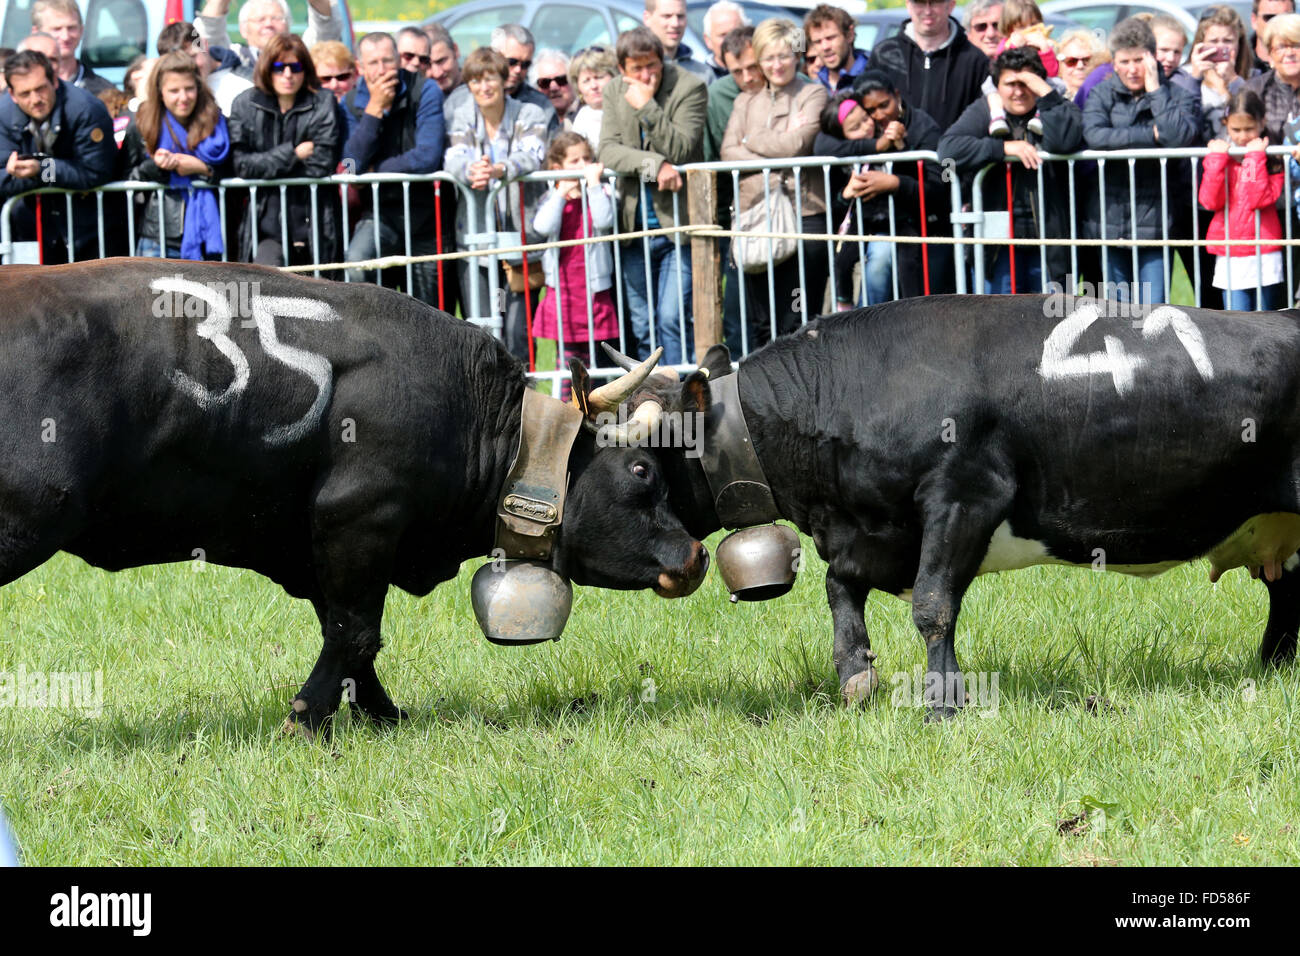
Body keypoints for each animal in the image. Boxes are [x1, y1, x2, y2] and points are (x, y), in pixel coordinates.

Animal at [0, 259, 707, 736]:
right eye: (642, 470)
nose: (695, 555)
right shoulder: (360, 518)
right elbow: (356, 631)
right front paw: (308, 717)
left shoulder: (319, 539)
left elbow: (346, 630)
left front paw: (380, 712)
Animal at [612, 294, 1300, 719]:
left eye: (641, 461)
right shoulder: (872, 532)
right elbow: (840, 587)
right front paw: (856, 678)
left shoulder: (966, 495)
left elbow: (933, 605)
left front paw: (943, 705)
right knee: (1287, 591)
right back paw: (1271, 669)